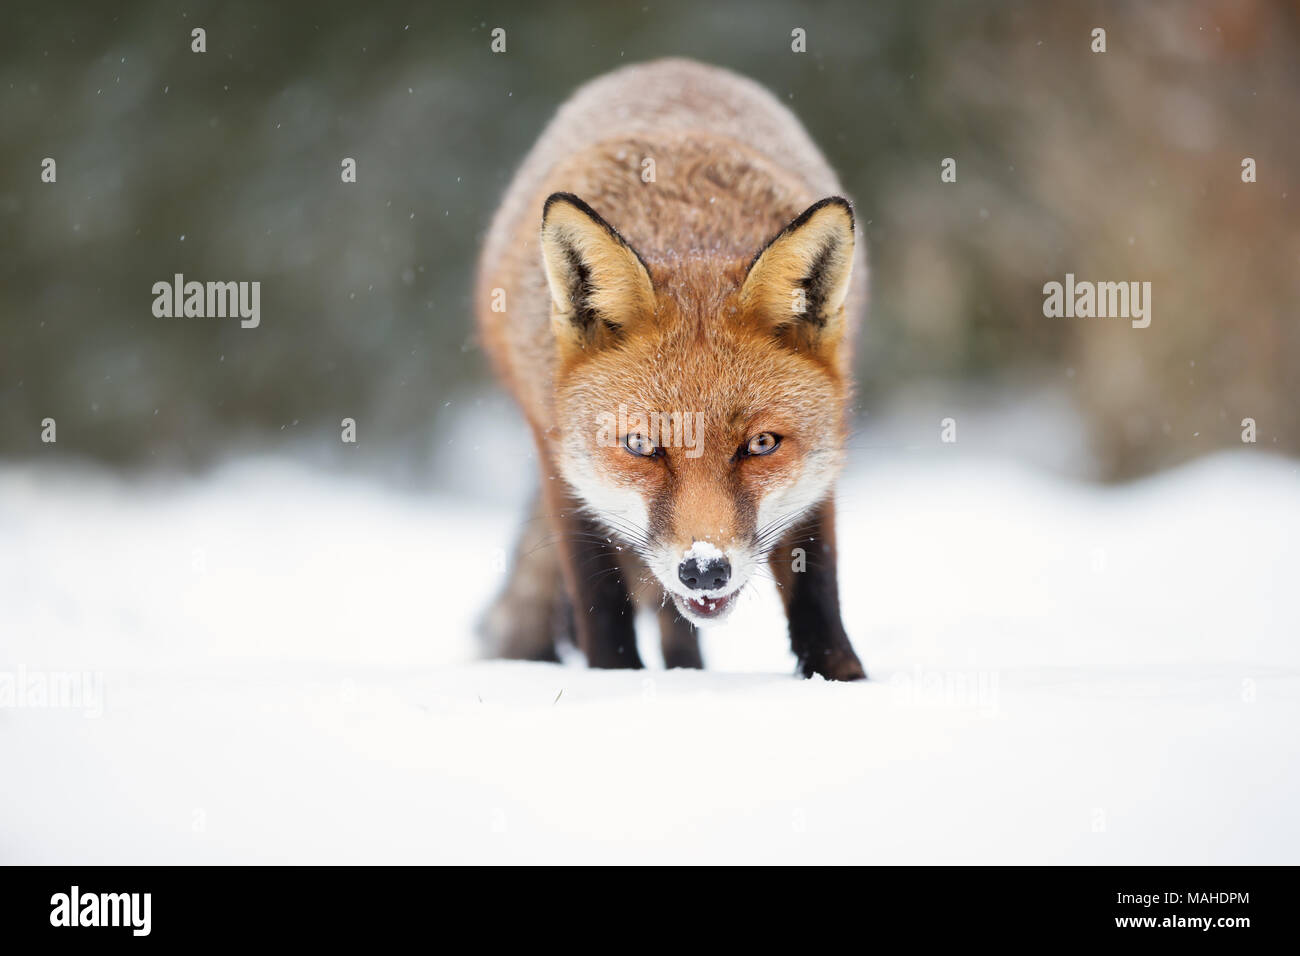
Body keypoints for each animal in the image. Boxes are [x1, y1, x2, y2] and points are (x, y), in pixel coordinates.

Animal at [476, 59, 866, 680]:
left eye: (761, 444)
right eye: (640, 445)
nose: (704, 570)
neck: (690, 230)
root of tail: (670, 66)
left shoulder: (821, 462)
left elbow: (816, 586)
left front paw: (842, 679)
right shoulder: (561, 462)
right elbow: (599, 595)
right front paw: (614, 682)